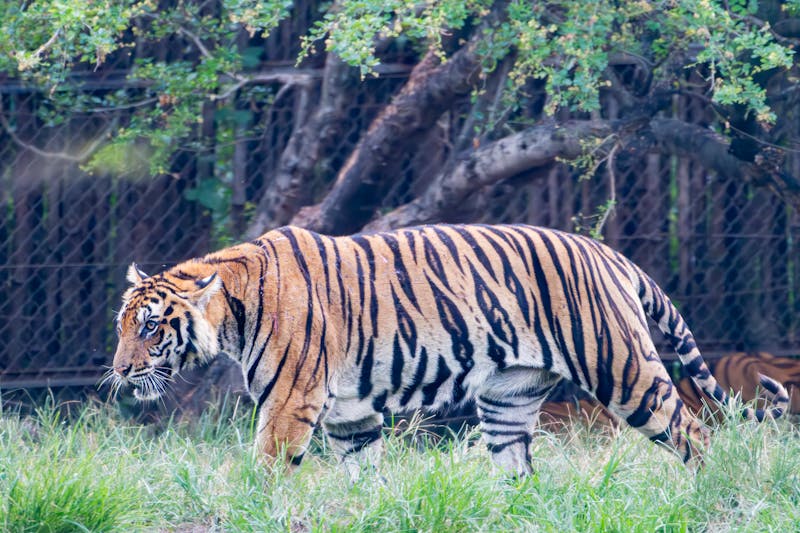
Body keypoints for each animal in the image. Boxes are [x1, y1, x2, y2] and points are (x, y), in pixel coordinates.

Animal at [107, 224, 789, 478]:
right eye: (122, 326)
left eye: (151, 328)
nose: (118, 371)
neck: (232, 310)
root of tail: (609, 253)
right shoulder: (352, 415)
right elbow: (365, 475)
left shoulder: (289, 405)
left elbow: (266, 468)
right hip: (509, 400)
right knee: (518, 468)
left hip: (622, 369)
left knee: (695, 431)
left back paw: (706, 492)